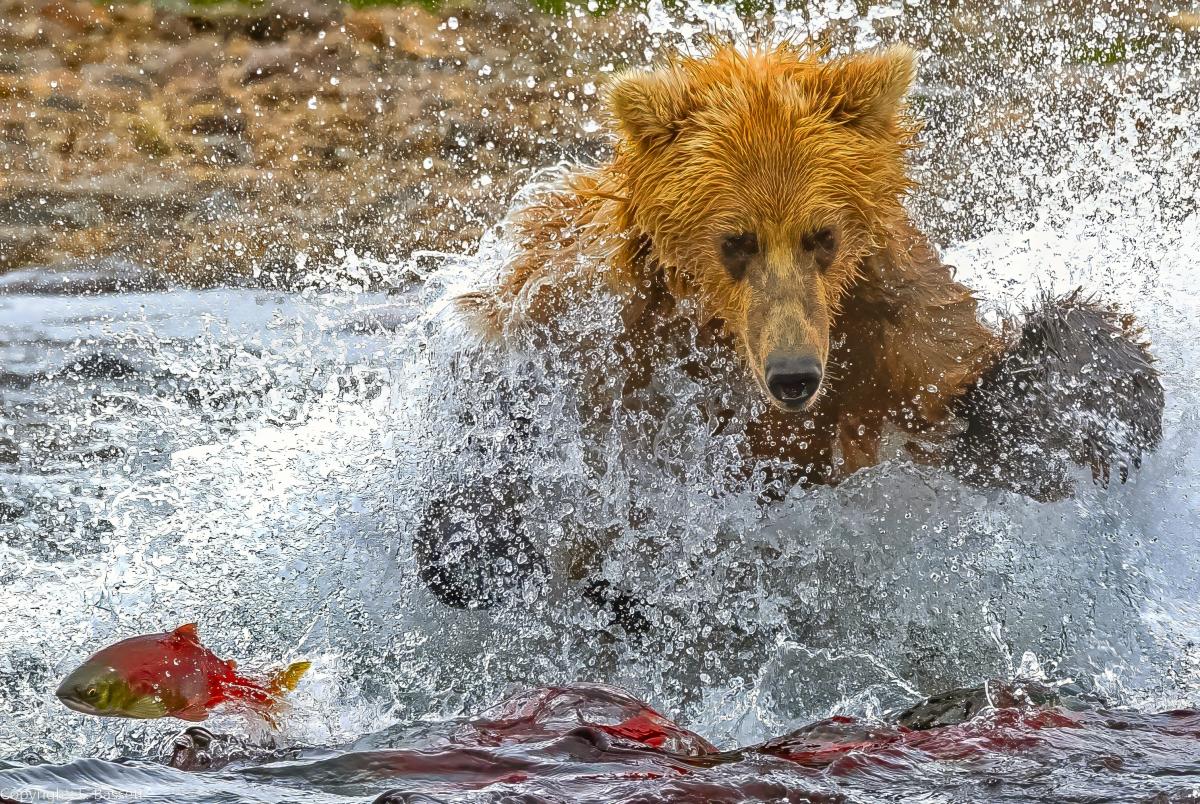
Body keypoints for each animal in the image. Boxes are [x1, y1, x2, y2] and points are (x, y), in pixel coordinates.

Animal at [416, 43, 1163, 614]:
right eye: (735, 241)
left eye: (821, 235)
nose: (794, 375)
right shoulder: (601, 329)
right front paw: (482, 542)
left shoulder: (886, 324)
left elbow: (981, 402)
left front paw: (1086, 399)